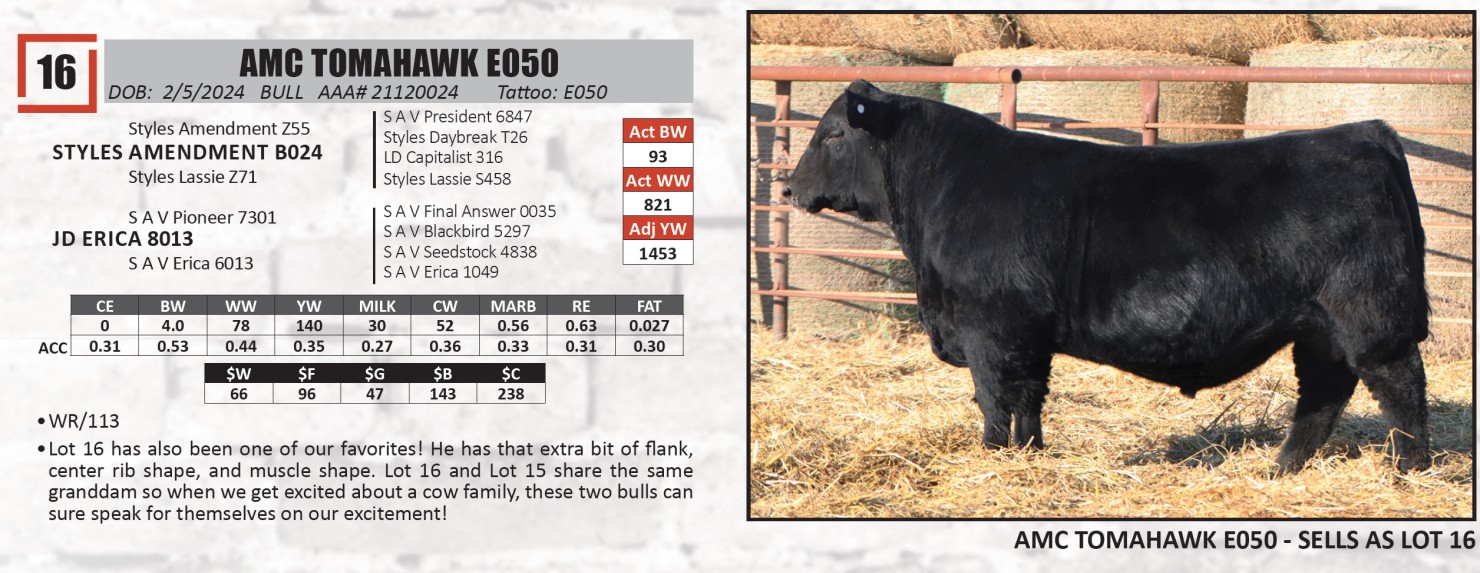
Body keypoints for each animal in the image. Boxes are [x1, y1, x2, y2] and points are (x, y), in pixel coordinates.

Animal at [782, 80, 1431, 474]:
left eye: (833, 133)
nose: (788, 187)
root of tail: (1365, 131)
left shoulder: (988, 328)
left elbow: (993, 399)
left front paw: (994, 459)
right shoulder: (1026, 336)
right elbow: (1029, 401)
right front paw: (1029, 456)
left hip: (1369, 313)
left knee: (1400, 385)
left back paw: (1408, 470)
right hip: (1318, 327)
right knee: (1324, 393)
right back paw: (1282, 470)